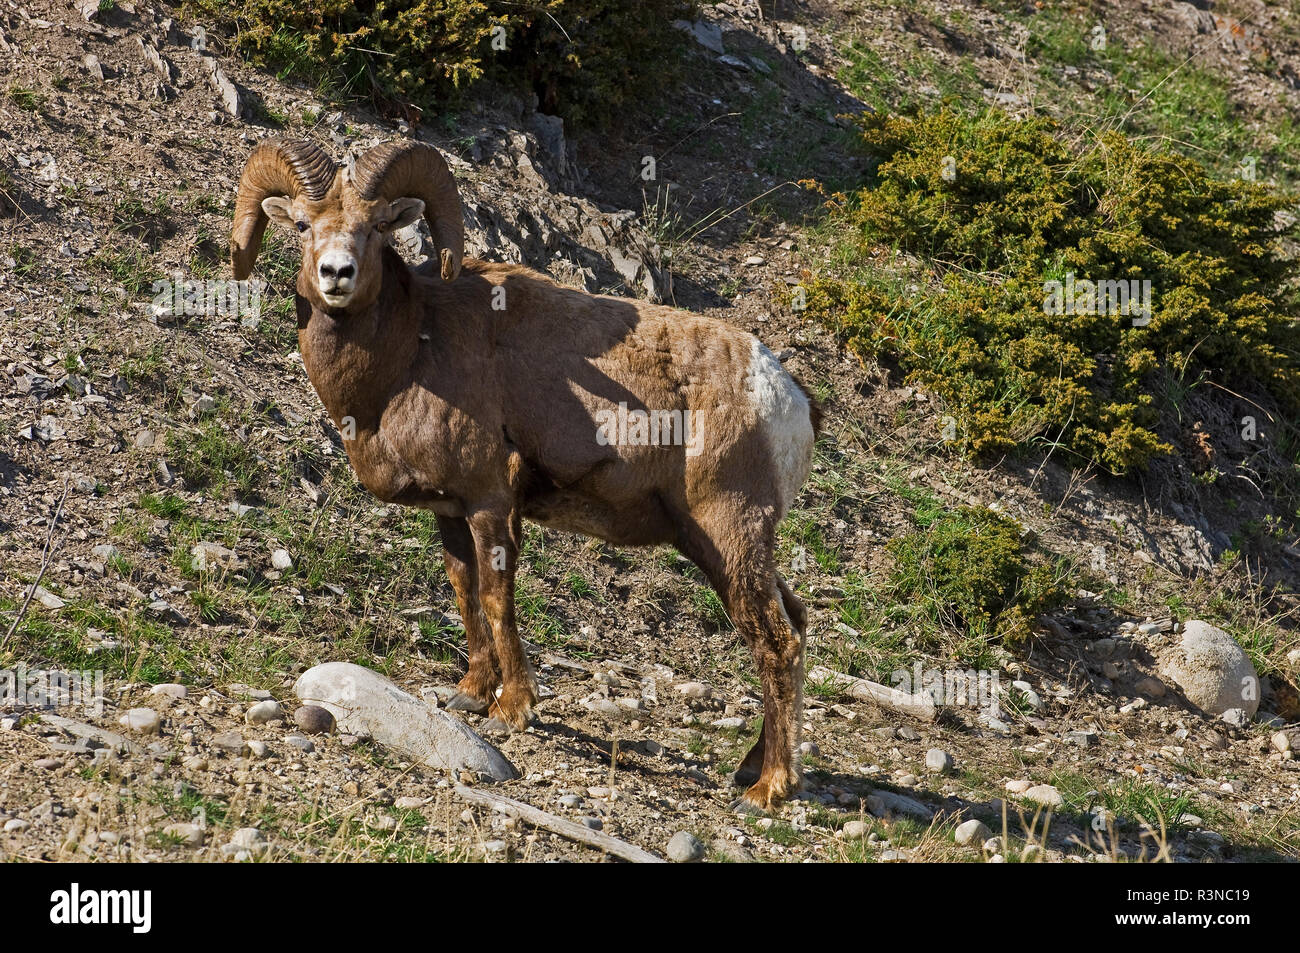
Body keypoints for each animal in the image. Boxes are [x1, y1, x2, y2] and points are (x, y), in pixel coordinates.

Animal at [230, 137, 822, 811]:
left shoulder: (492, 500)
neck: (408, 355)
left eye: (377, 228)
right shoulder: (451, 511)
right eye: (304, 225)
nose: (336, 274)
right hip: (722, 548)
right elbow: (464, 592)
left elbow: (496, 594)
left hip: (729, 534)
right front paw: (468, 692)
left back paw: (768, 790)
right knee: (794, 622)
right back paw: (752, 768)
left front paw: (511, 708)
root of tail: (786, 398)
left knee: (776, 641)